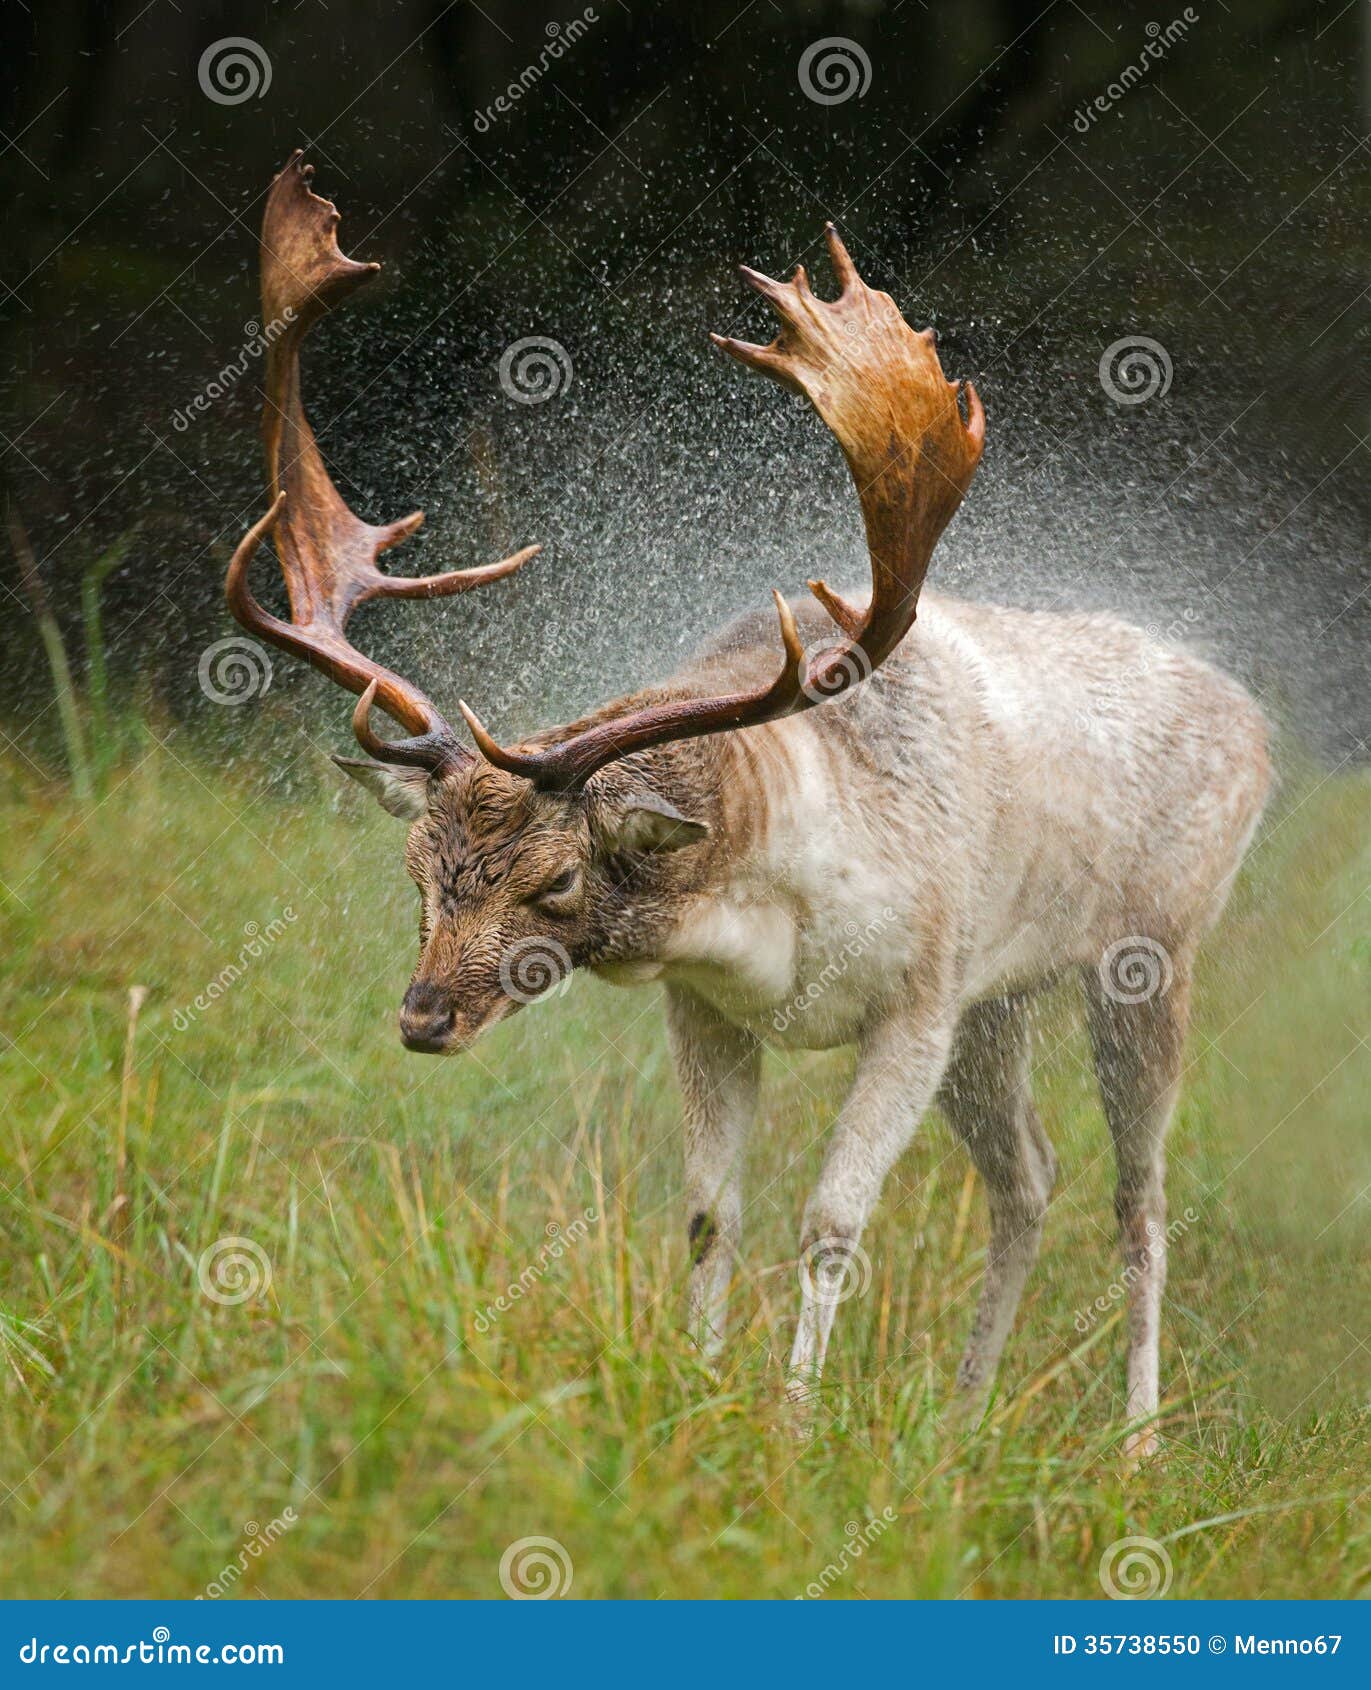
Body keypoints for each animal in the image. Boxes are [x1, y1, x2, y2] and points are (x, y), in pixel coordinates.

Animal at [228, 153, 1270, 1457]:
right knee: (1029, 1173)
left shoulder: (918, 997)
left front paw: (794, 1419)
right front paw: (698, 1383)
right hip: (1001, 1000)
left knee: (1142, 1198)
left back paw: (1136, 1444)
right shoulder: (709, 1008)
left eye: (556, 878)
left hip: (1146, 952)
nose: (422, 1017)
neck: (774, 901)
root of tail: (1259, 723)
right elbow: (708, 1210)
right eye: (416, 868)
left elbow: (829, 1224)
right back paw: (964, 1418)